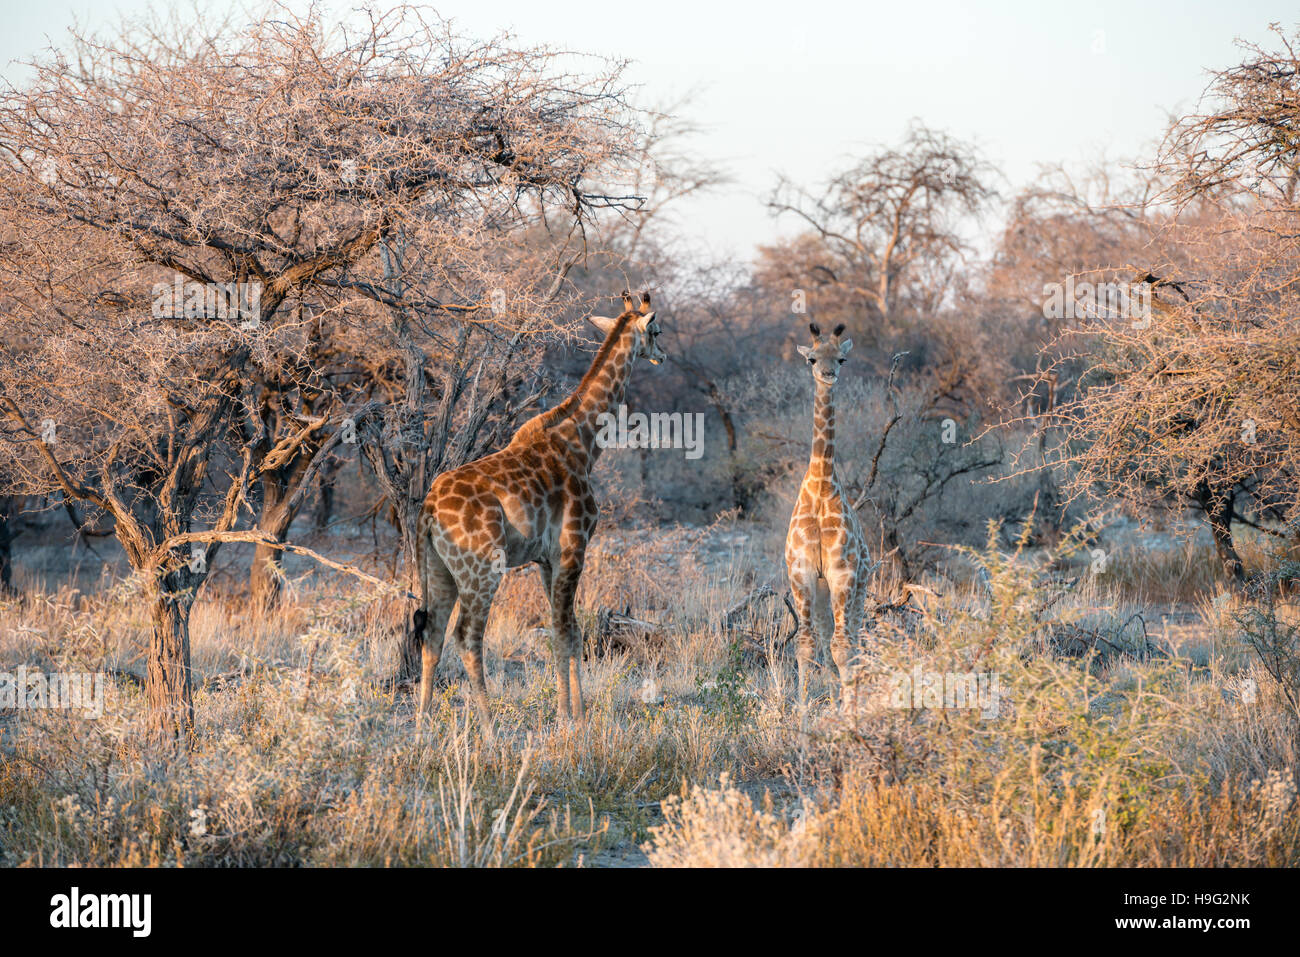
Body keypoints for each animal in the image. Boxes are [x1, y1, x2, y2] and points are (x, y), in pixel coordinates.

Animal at [411, 291, 664, 727]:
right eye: (658, 331)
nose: (662, 356)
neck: (583, 442)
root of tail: (428, 511)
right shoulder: (572, 548)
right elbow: (563, 632)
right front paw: (569, 718)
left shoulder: (545, 560)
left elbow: (570, 631)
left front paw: (576, 712)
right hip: (481, 568)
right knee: (467, 636)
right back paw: (490, 728)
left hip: (438, 568)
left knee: (433, 633)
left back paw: (422, 727)